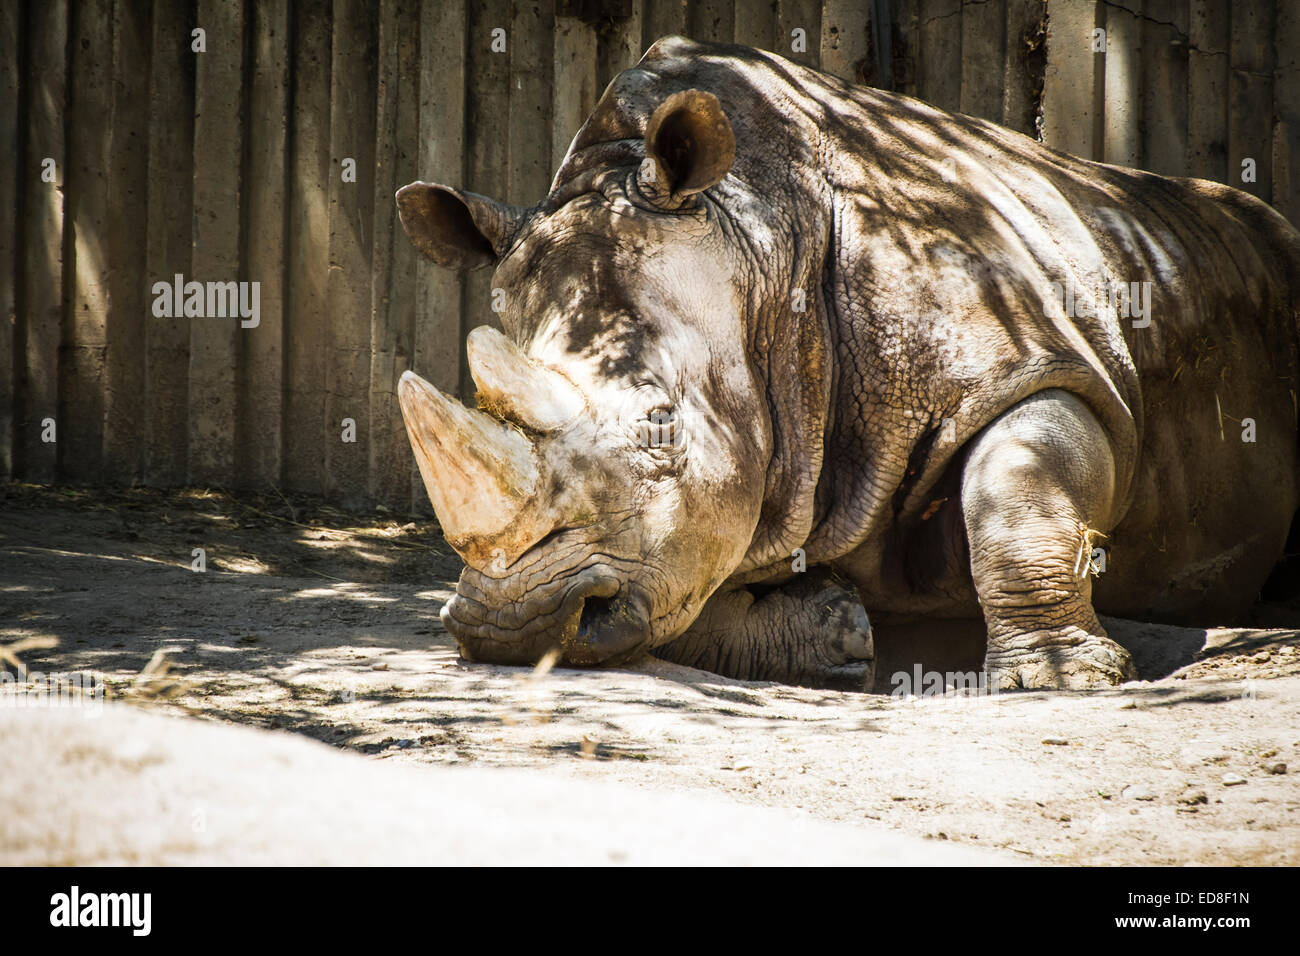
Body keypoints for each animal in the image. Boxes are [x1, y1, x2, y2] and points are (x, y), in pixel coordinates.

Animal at [394, 36, 1300, 691]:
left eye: (660, 426)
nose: (512, 627)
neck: (760, 247)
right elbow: (692, 572)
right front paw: (835, 632)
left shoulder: (1033, 362)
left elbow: (1016, 486)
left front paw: (1061, 682)